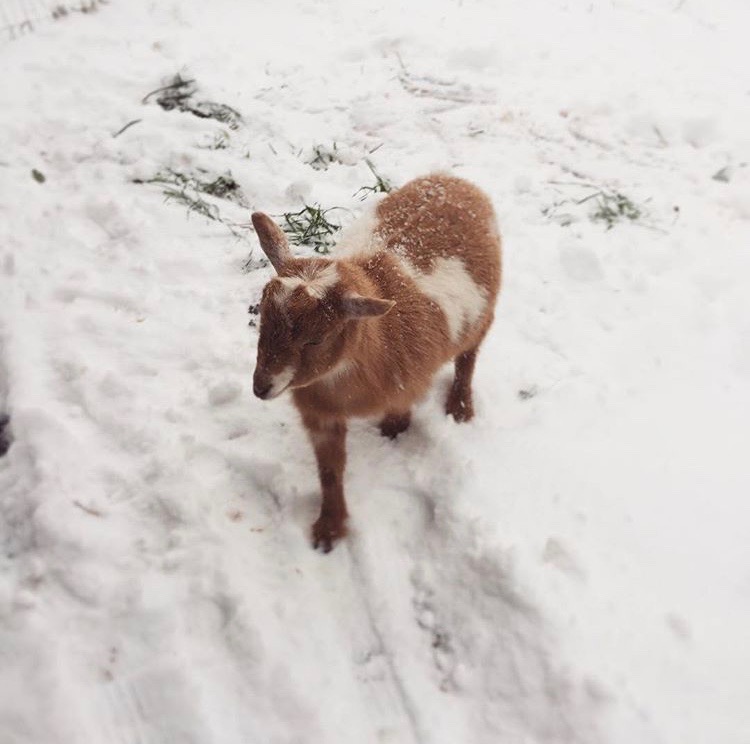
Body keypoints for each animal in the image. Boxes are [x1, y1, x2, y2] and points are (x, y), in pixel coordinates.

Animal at [251, 173, 501, 552]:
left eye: (316, 338)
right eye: (261, 319)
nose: (261, 387)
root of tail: (453, 179)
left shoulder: (406, 383)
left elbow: (401, 411)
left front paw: (394, 429)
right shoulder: (320, 414)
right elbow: (330, 471)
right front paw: (329, 529)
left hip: (484, 314)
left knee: (468, 357)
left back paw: (460, 406)